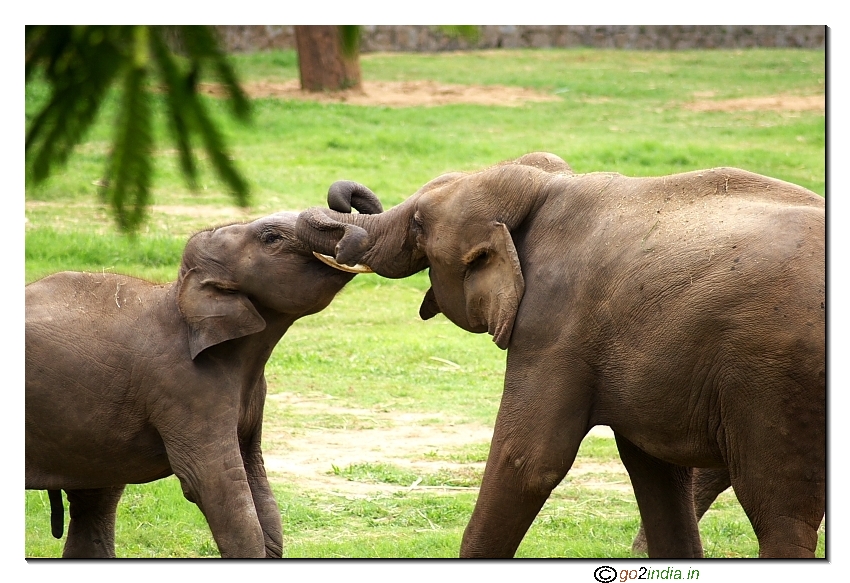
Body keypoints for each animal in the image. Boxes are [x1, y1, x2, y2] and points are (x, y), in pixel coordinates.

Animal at [25, 187, 382, 558]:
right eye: (272, 238)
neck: (181, 291)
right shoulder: (184, 390)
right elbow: (216, 485)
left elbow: (256, 482)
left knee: (96, 498)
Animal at [295, 152, 825, 558]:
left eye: (421, 225)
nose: (351, 200)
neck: (548, 190)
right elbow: (653, 469)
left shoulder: (554, 327)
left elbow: (527, 462)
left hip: (776, 381)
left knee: (779, 509)